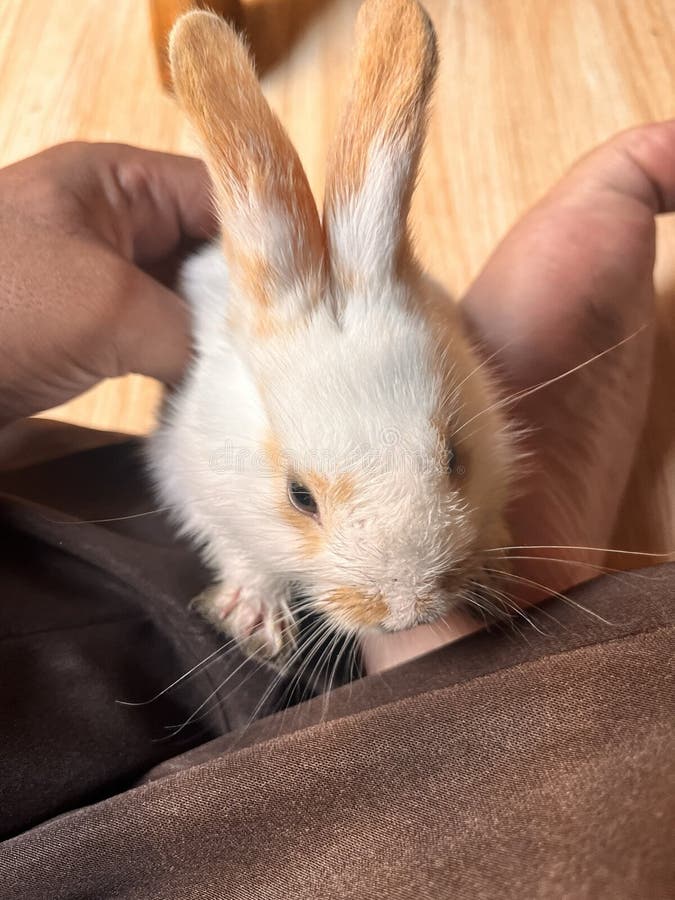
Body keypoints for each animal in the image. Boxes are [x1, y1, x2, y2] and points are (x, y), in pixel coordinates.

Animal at [147, 0, 516, 666]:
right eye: (299, 497)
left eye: (455, 458)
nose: (406, 610)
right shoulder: (188, 477)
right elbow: (237, 549)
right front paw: (255, 624)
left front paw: (495, 565)